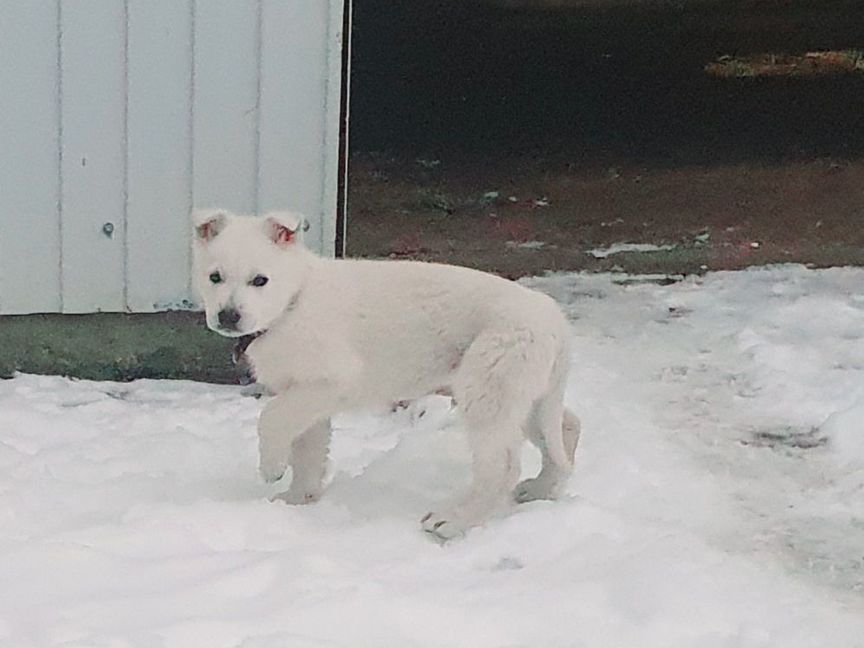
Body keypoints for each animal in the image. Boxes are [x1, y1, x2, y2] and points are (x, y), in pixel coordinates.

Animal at [190, 210, 580, 540]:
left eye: (260, 280)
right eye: (215, 277)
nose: (228, 316)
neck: (293, 302)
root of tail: (554, 319)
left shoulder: (330, 380)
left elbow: (271, 419)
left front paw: (271, 468)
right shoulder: (305, 394)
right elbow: (308, 448)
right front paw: (298, 499)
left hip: (488, 389)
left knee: (502, 466)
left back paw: (451, 521)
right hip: (524, 395)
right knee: (565, 428)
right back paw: (542, 488)